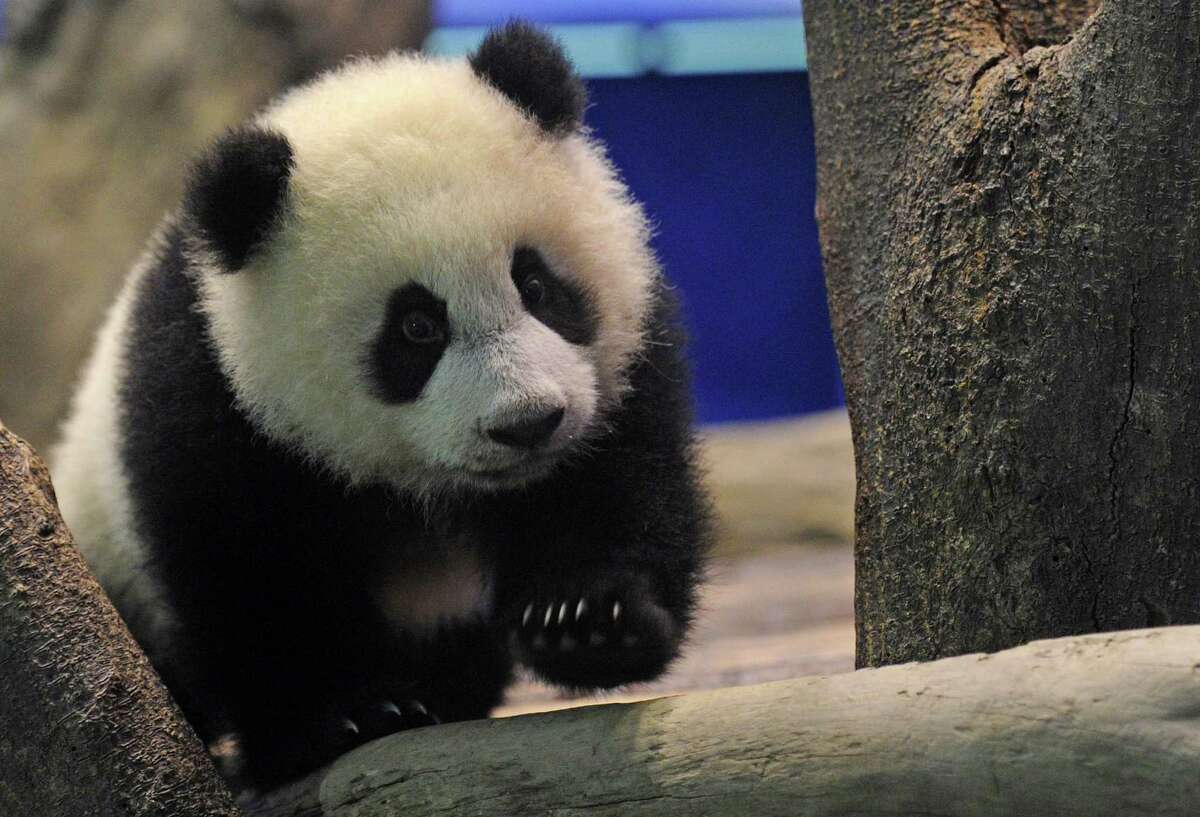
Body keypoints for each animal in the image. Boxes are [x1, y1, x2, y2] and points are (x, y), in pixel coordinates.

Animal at [51, 21, 711, 789]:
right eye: (417, 327)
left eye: (536, 284)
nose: (528, 425)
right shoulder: (210, 389)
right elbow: (247, 569)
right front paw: (340, 717)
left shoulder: (622, 366)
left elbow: (617, 484)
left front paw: (587, 621)